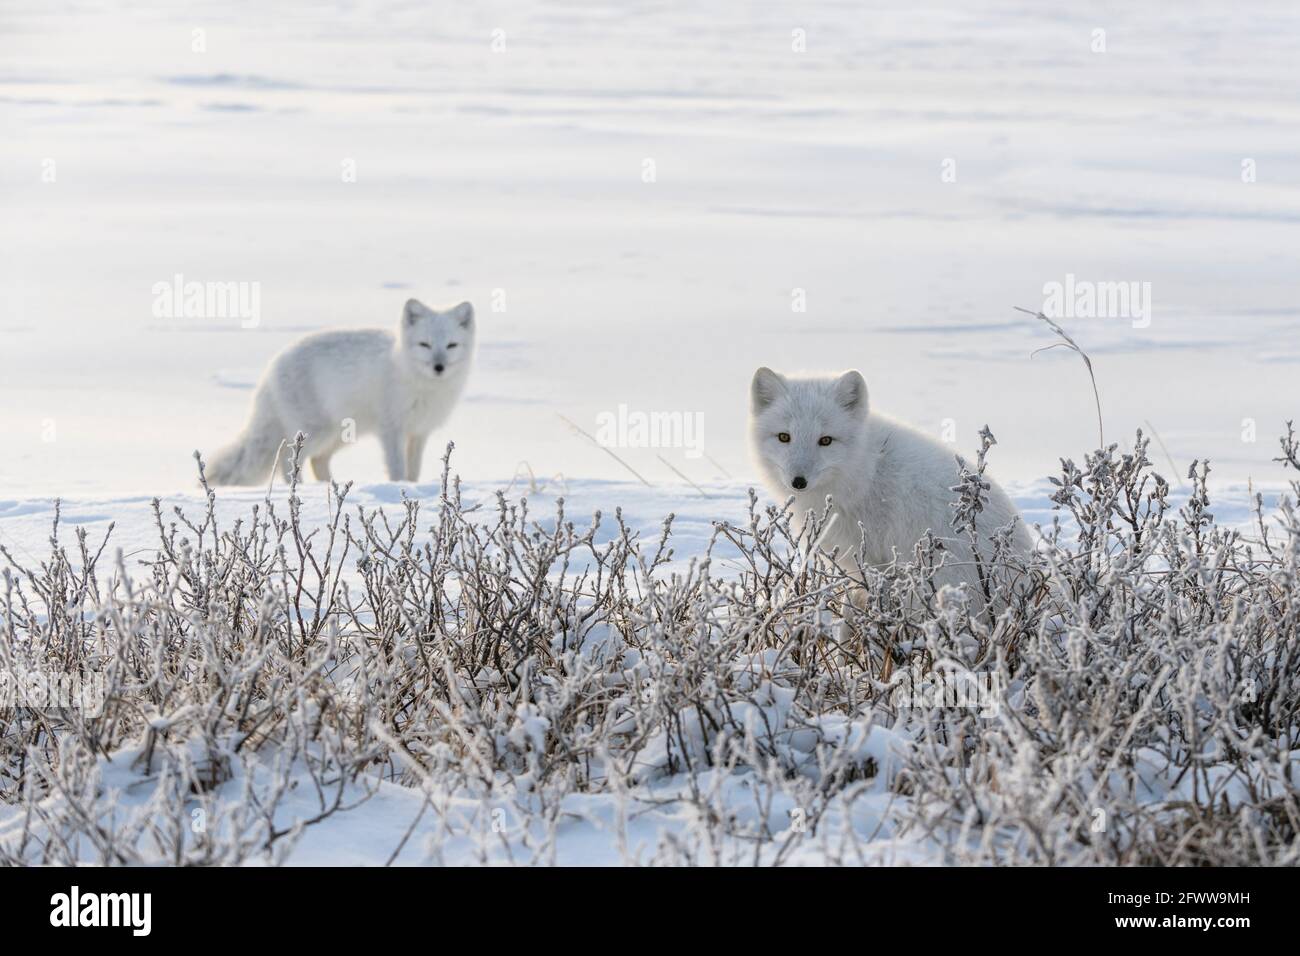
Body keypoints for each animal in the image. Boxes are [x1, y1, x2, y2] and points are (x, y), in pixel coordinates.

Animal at [204, 299, 475, 485]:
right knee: (287, 460)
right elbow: (397, 469)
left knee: (316, 461)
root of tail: (272, 367)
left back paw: (329, 486)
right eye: (424, 344)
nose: (438, 367)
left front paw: (412, 487)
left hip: (340, 434)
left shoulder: (419, 432)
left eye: (451, 345)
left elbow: (414, 471)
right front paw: (399, 488)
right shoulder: (391, 429)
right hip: (316, 431)